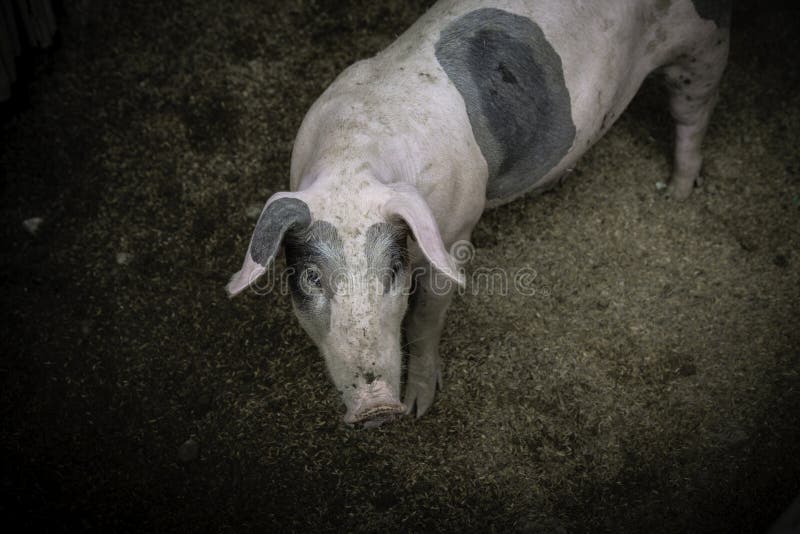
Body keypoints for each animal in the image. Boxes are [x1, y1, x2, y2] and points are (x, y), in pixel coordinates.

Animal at [227, 0, 730, 427]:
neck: (353, 161)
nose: (377, 409)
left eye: (391, 271)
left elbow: (426, 320)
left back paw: (676, 195)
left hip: (703, 49)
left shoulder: (454, 234)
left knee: (693, 120)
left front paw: (419, 408)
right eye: (312, 277)